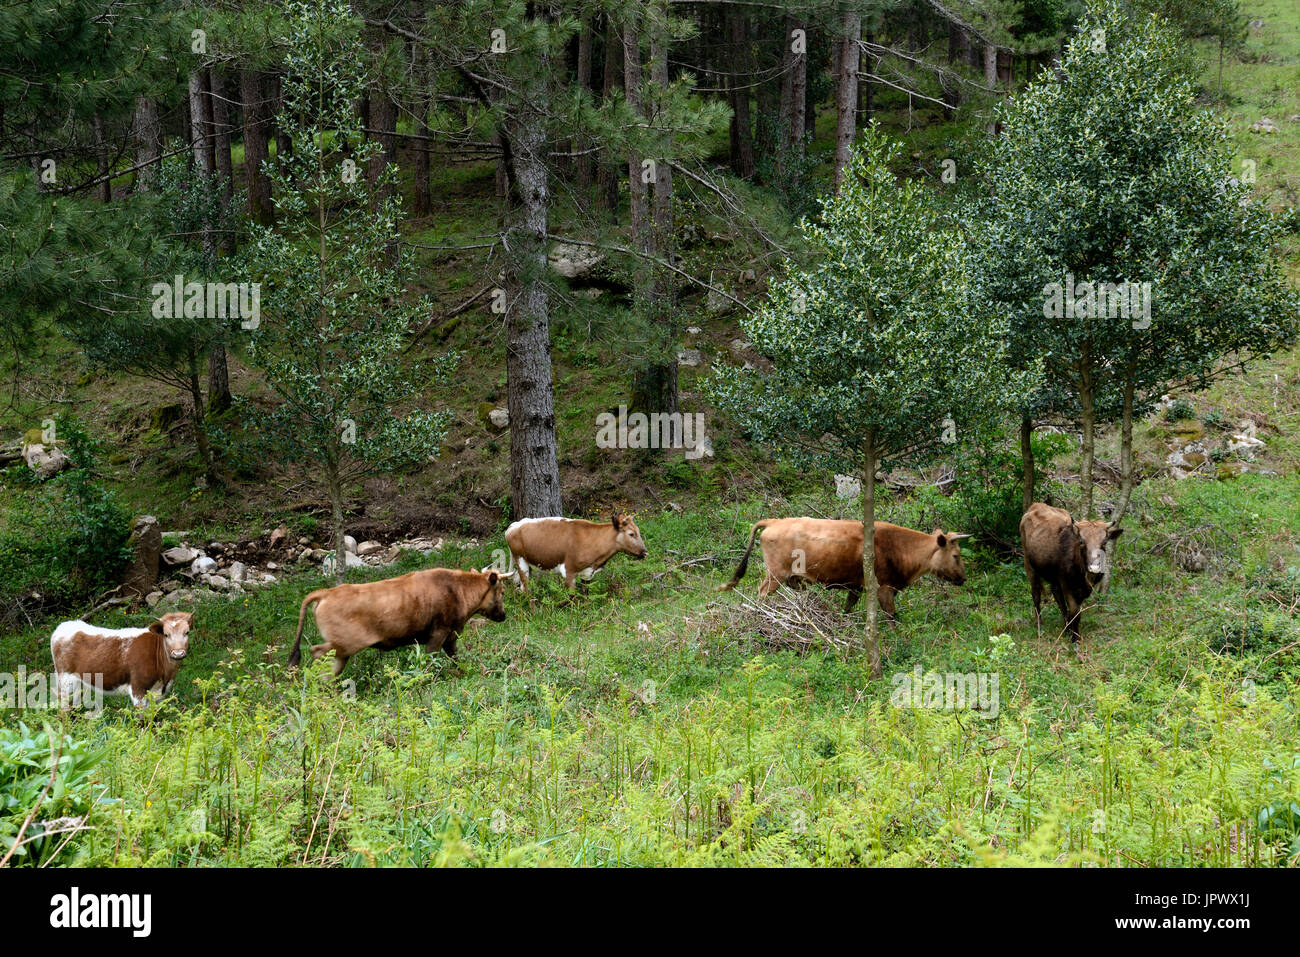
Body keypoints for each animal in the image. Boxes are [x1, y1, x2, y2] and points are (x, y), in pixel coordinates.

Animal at [50, 611, 194, 708]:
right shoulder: (138, 689)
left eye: (187, 632)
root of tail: (63, 626)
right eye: (166, 634)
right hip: (65, 679)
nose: (178, 653)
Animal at [289, 567, 510, 676]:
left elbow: (455, 657)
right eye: (502, 591)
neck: (457, 589)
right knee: (317, 651)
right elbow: (430, 659)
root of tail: (326, 592)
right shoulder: (438, 633)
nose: (503, 615)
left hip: (342, 651)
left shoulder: (450, 637)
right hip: (344, 645)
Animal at [505, 514, 648, 594]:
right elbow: (572, 597)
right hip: (520, 561)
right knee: (526, 589)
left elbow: (585, 594)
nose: (645, 552)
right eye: (631, 534)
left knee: (522, 588)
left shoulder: (588, 573)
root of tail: (514, 525)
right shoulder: (568, 571)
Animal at [716, 518, 970, 615]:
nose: (963, 578)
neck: (897, 546)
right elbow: (893, 617)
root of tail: (774, 521)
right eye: (956, 555)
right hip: (774, 576)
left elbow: (846, 609)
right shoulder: (884, 589)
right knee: (760, 595)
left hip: (792, 579)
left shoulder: (854, 588)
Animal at [1019, 502, 1123, 650]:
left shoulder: (1081, 589)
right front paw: (1076, 639)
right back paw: (1039, 625)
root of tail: (1036, 505)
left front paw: (1071, 630)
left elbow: (1075, 611)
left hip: (1053, 575)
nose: (1094, 567)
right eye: (1082, 542)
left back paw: (1066, 626)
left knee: (1056, 595)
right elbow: (1075, 613)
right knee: (1036, 594)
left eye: (1104, 542)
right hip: (1029, 564)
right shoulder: (1067, 585)